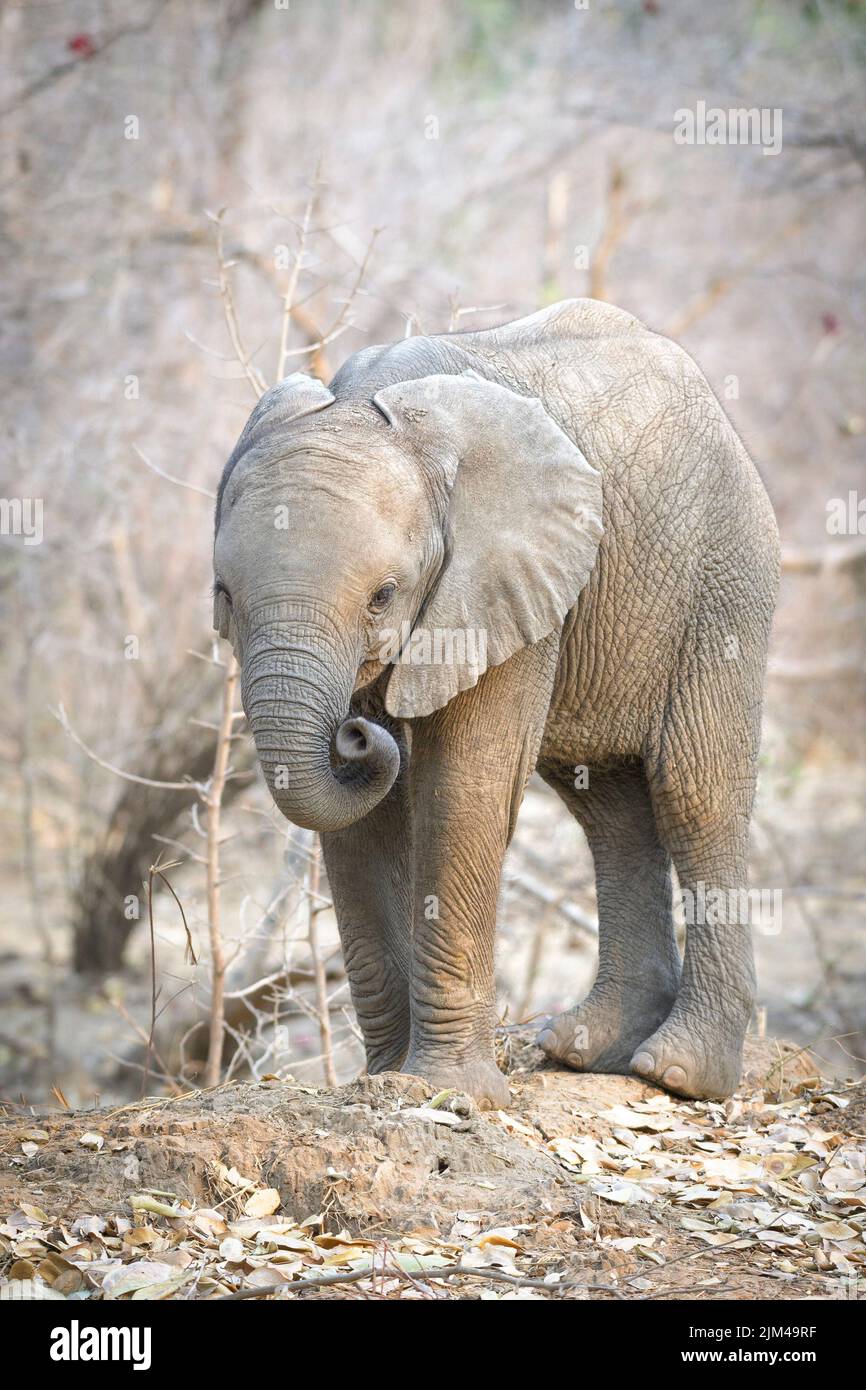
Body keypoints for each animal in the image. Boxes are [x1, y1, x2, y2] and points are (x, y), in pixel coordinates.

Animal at [212, 298, 779, 1108]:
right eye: (224, 596)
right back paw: (588, 1051)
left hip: (725, 573)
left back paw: (676, 1074)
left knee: (693, 791)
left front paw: (447, 1093)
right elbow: (359, 824)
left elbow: (463, 789)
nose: (354, 731)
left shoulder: (495, 580)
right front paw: (385, 1078)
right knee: (606, 806)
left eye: (383, 595)